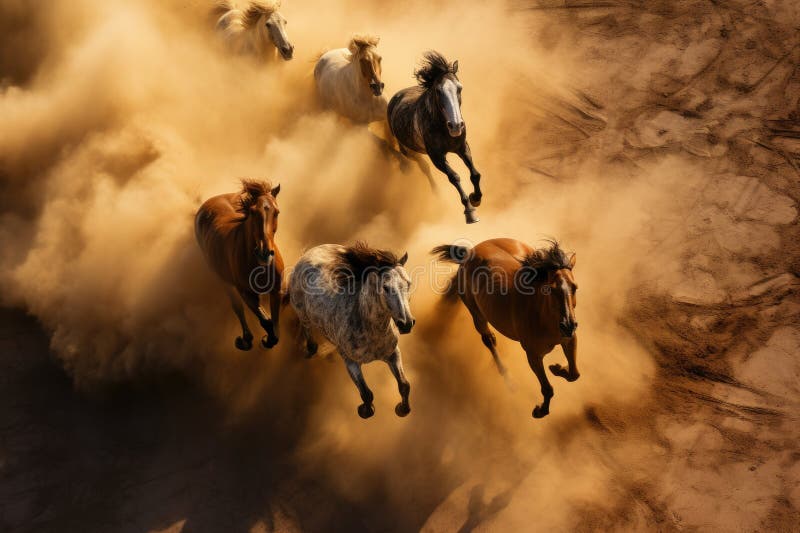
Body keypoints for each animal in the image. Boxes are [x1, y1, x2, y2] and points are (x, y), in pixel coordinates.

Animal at [195, 179, 284, 350]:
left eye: (277, 212)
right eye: (253, 211)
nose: (264, 253)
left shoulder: (276, 290)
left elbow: (275, 323)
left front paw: (270, 339)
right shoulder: (246, 293)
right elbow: (266, 321)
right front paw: (265, 340)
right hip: (223, 280)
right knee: (237, 307)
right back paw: (245, 340)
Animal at [288, 242, 415, 419]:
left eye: (408, 284)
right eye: (386, 287)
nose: (406, 324)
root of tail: (307, 253)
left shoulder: (393, 354)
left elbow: (404, 385)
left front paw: (402, 409)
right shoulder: (351, 363)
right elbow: (366, 393)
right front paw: (365, 411)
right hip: (302, 312)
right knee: (306, 327)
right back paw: (311, 348)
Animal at [388, 51, 483, 224]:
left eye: (459, 88)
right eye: (438, 91)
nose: (456, 126)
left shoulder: (462, 147)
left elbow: (475, 173)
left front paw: (476, 198)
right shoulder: (436, 157)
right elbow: (454, 177)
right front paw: (470, 211)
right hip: (408, 150)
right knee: (423, 166)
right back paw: (435, 192)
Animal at [432, 238, 579, 418]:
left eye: (575, 287)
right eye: (549, 289)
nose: (569, 325)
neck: (545, 319)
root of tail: (470, 252)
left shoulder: (570, 340)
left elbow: (574, 374)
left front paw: (558, 368)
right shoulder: (533, 355)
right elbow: (547, 389)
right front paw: (540, 410)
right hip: (477, 314)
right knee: (489, 340)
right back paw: (509, 381)